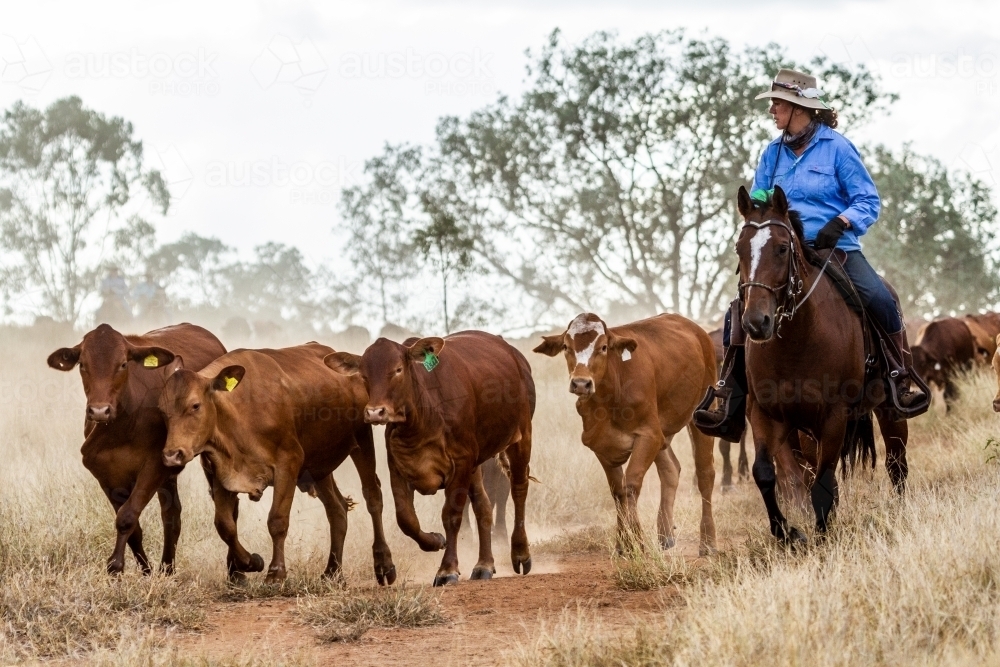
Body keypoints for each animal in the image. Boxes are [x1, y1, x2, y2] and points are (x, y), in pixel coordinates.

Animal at [735, 185, 908, 543]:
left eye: (782, 248)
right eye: (739, 249)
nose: (756, 323)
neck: (796, 341)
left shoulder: (833, 417)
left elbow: (824, 483)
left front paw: (823, 535)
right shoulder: (766, 414)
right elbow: (766, 474)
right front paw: (787, 533)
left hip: (890, 409)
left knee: (897, 463)